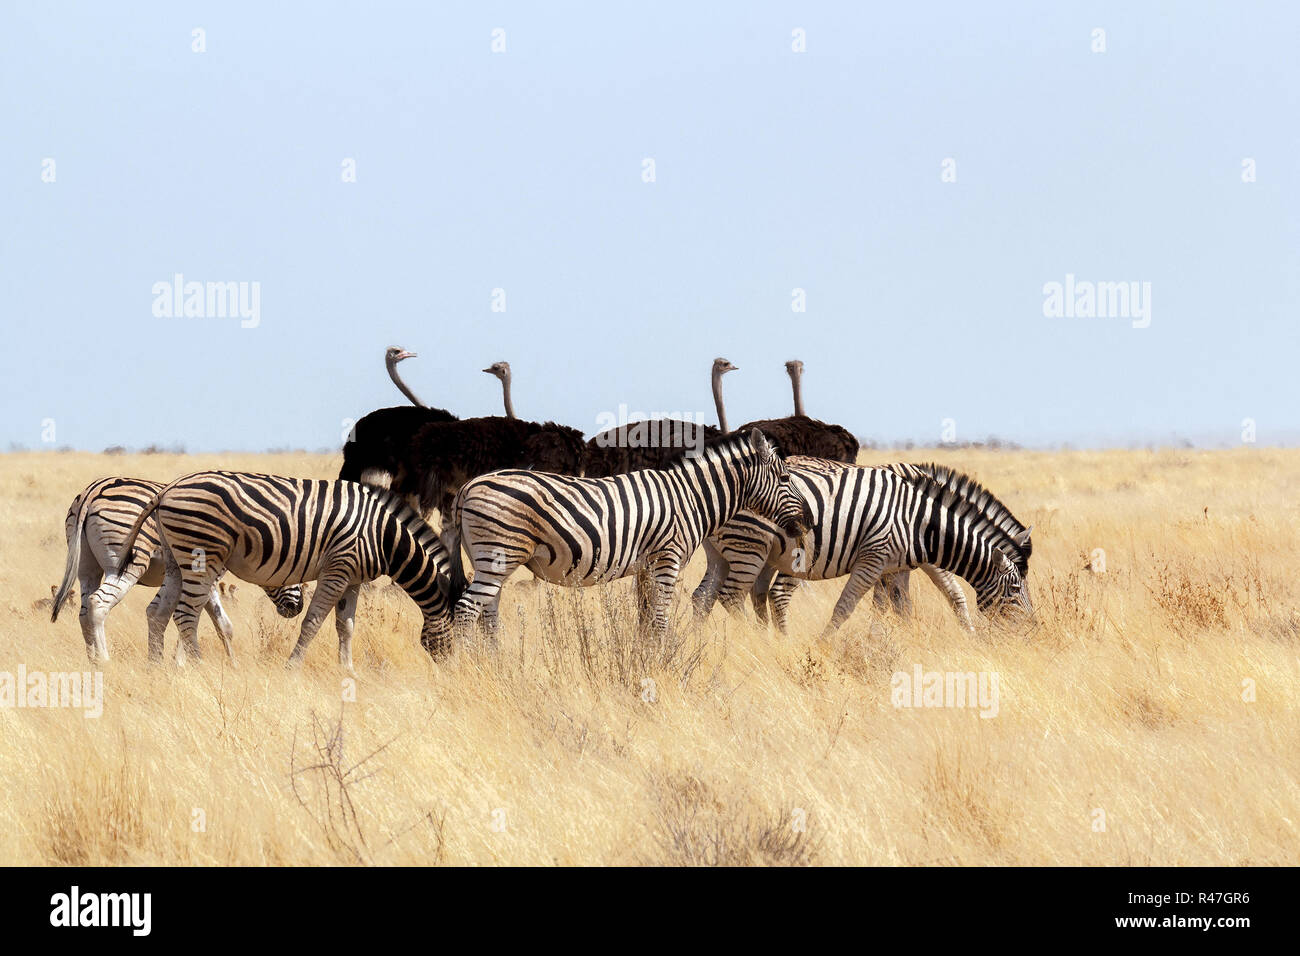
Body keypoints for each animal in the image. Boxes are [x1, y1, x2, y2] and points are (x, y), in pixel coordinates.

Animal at [52, 477, 303, 663]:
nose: (296, 609)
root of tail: (93, 490)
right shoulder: (209, 575)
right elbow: (206, 621)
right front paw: (182, 663)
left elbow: (221, 626)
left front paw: (230, 664)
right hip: (128, 562)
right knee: (98, 604)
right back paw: (105, 661)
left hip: (87, 567)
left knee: (84, 612)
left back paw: (93, 662)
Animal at [114, 472, 458, 668]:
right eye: (459, 632)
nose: (456, 673)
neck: (384, 535)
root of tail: (166, 490)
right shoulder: (337, 569)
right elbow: (313, 623)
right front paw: (292, 668)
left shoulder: (353, 579)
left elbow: (346, 626)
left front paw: (347, 671)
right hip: (202, 553)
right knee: (185, 614)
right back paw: (198, 667)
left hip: (176, 559)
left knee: (159, 613)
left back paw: (156, 669)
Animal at [449, 429, 811, 642]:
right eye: (785, 477)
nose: (807, 521)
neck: (689, 499)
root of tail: (468, 486)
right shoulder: (667, 561)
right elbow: (660, 621)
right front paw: (660, 664)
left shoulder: (647, 568)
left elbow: (645, 620)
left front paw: (643, 660)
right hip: (497, 555)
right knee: (466, 611)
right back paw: (466, 668)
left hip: (491, 561)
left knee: (487, 614)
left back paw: (496, 666)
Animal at [699, 459, 1034, 632]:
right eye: (1016, 588)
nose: (1033, 630)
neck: (923, 521)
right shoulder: (878, 558)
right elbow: (847, 607)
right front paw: (825, 647)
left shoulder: (897, 564)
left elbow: (902, 605)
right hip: (753, 548)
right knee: (739, 596)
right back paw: (760, 642)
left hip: (729, 553)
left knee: (705, 596)